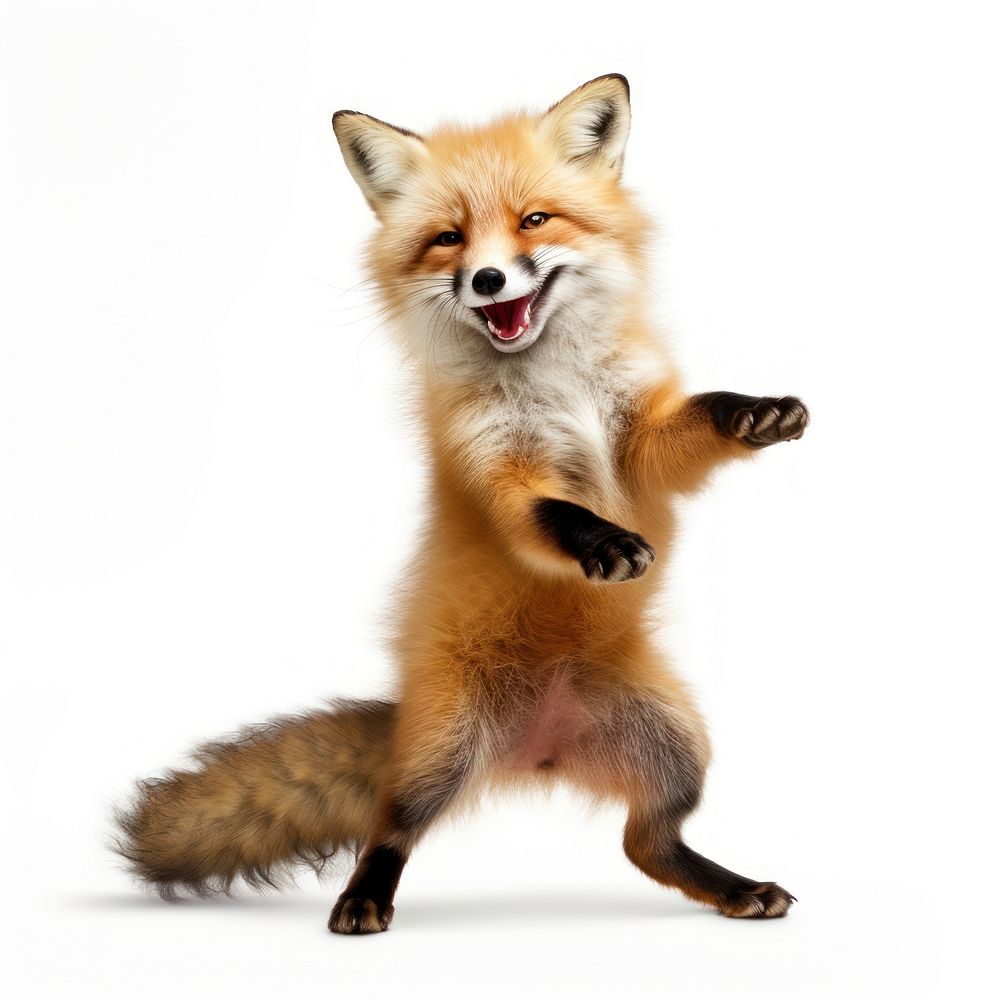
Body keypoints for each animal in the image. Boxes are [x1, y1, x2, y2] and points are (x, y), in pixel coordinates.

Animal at [115, 74, 809, 934]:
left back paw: (733, 887)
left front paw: (757, 414)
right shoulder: (497, 471)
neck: (555, 385)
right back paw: (362, 901)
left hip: (681, 744)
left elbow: (701, 418)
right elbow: (551, 516)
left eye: (533, 220)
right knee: (390, 827)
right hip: (437, 755)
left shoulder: (640, 445)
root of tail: (540, 751)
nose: (487, 280)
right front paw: (605, 544)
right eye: (449, 238)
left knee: (646, 844)